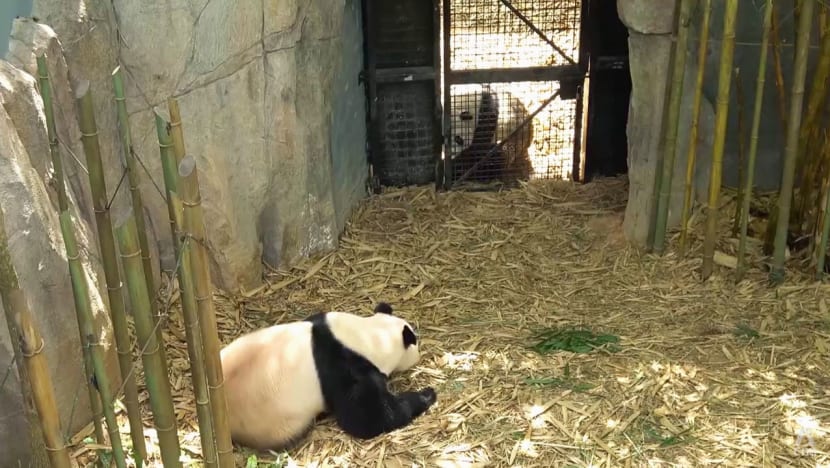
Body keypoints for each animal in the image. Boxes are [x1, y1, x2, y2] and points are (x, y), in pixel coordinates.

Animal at [220, 302, 437, 451]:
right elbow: (367, 417)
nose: (419, 353)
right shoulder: (343, 367)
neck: (366, 335)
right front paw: (427, 394)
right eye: (415, 342)